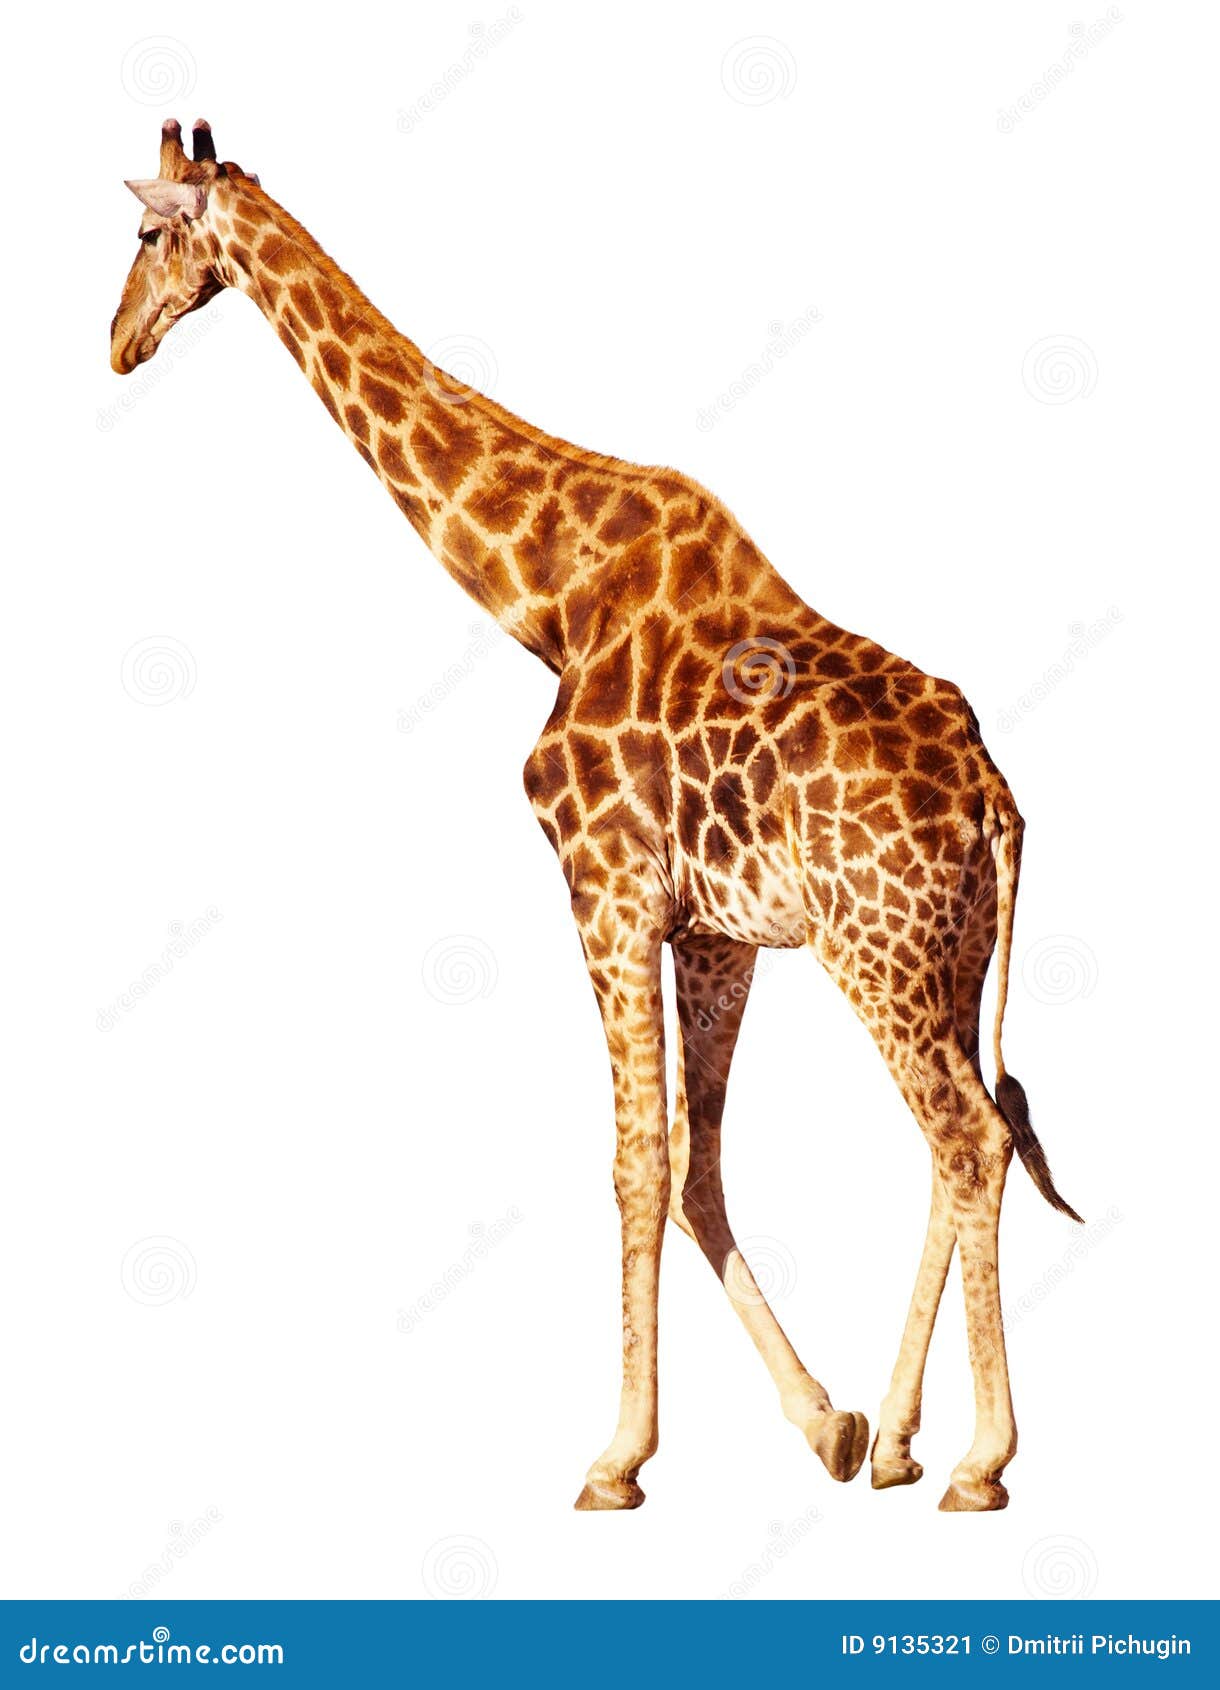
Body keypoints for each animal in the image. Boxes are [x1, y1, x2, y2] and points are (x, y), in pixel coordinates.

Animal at [111, 120, 1082, 1513]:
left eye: (144, 233)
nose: (116, 343)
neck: (545, 598)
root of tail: (995, 796)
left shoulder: (604, 884)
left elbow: (633, 1163)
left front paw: (617, 1457)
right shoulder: (717, 931)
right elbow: (693, 1167)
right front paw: (826, 1425)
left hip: (875, 948)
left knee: (966, 1136)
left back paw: (979, 1462)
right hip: (944, 955)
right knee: (968, 1134)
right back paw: (901, 1441)